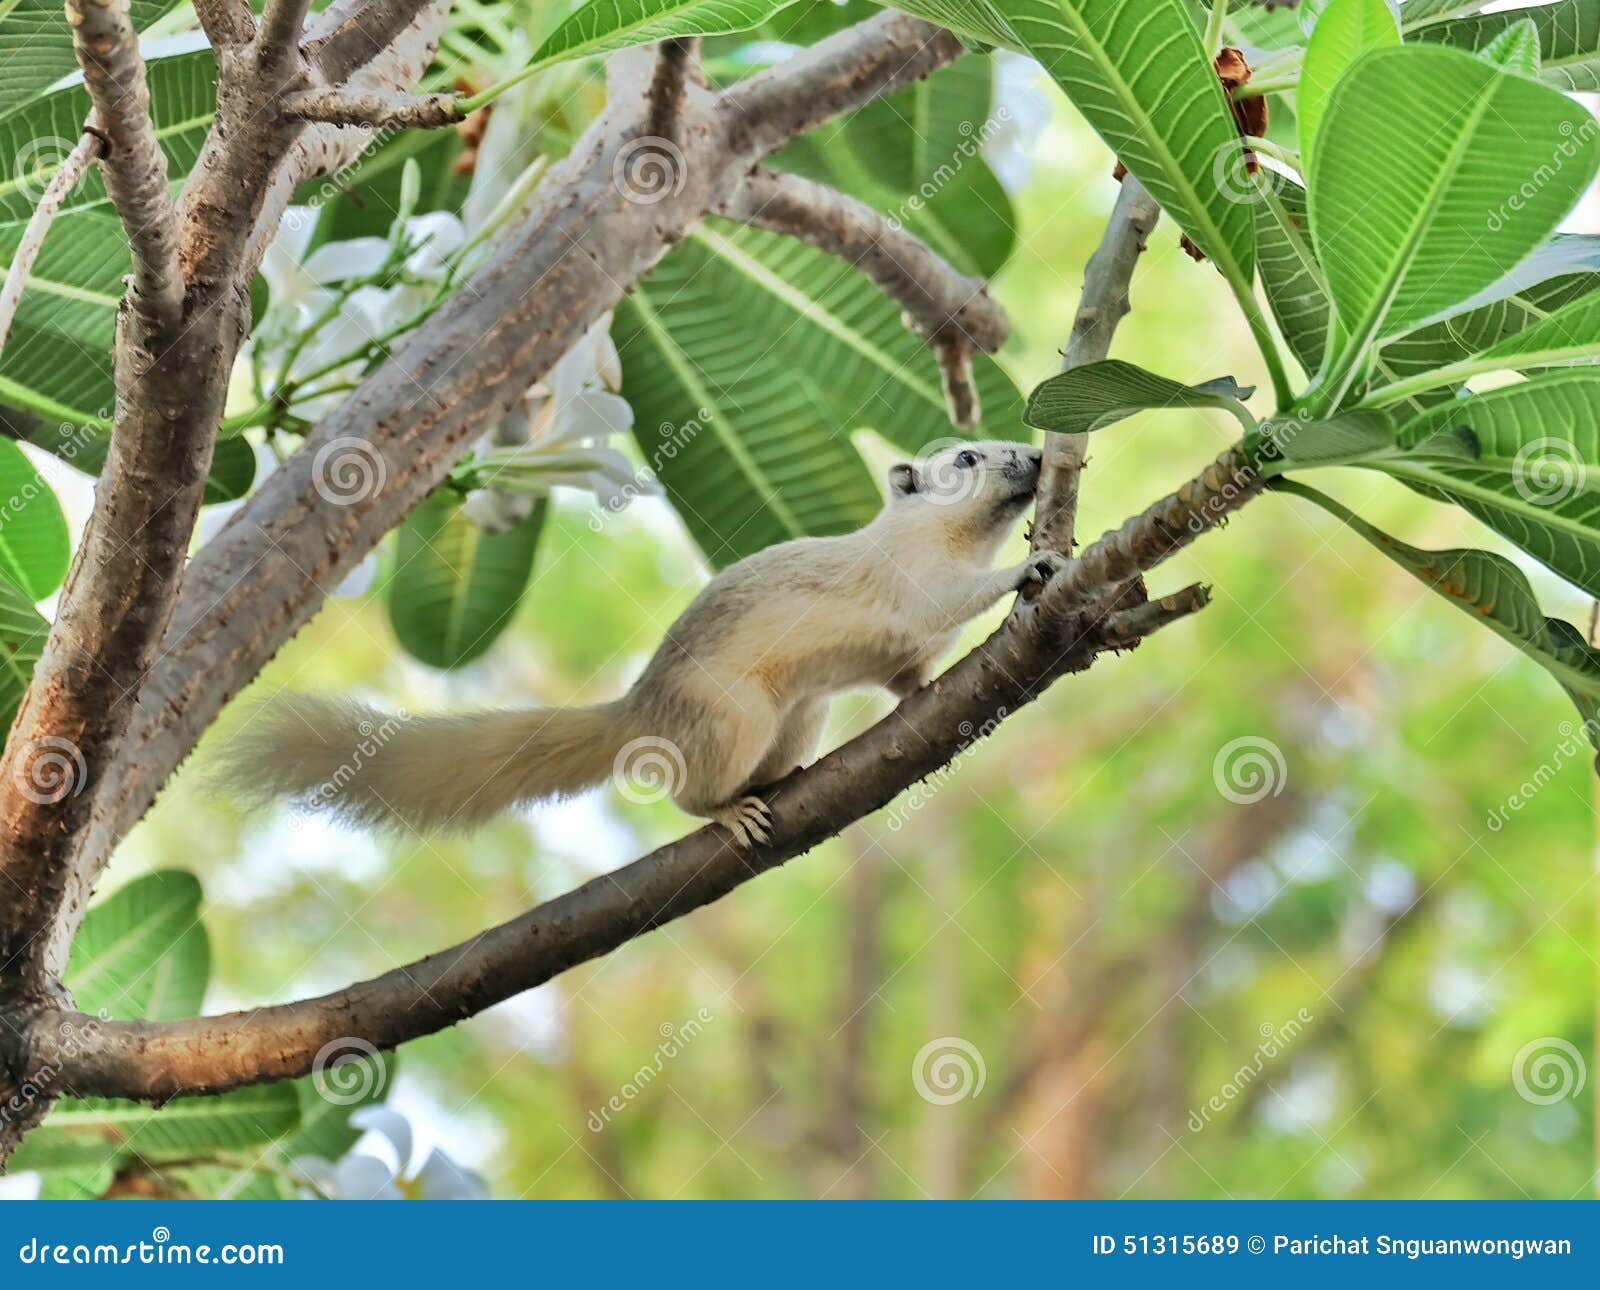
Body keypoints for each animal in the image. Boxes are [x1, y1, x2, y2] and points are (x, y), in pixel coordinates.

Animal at [220, 440, 1064, 847]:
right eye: (966, 457)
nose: (1038, 455)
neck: (949, 539)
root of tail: (640, 712)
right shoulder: (915, 586)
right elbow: (950, 602)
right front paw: (1034, 564)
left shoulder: (900, 651)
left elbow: (906, 675)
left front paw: (927, 697)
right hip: (734, 718)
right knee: (687, 794)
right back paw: (729, 814)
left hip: (799, 718)